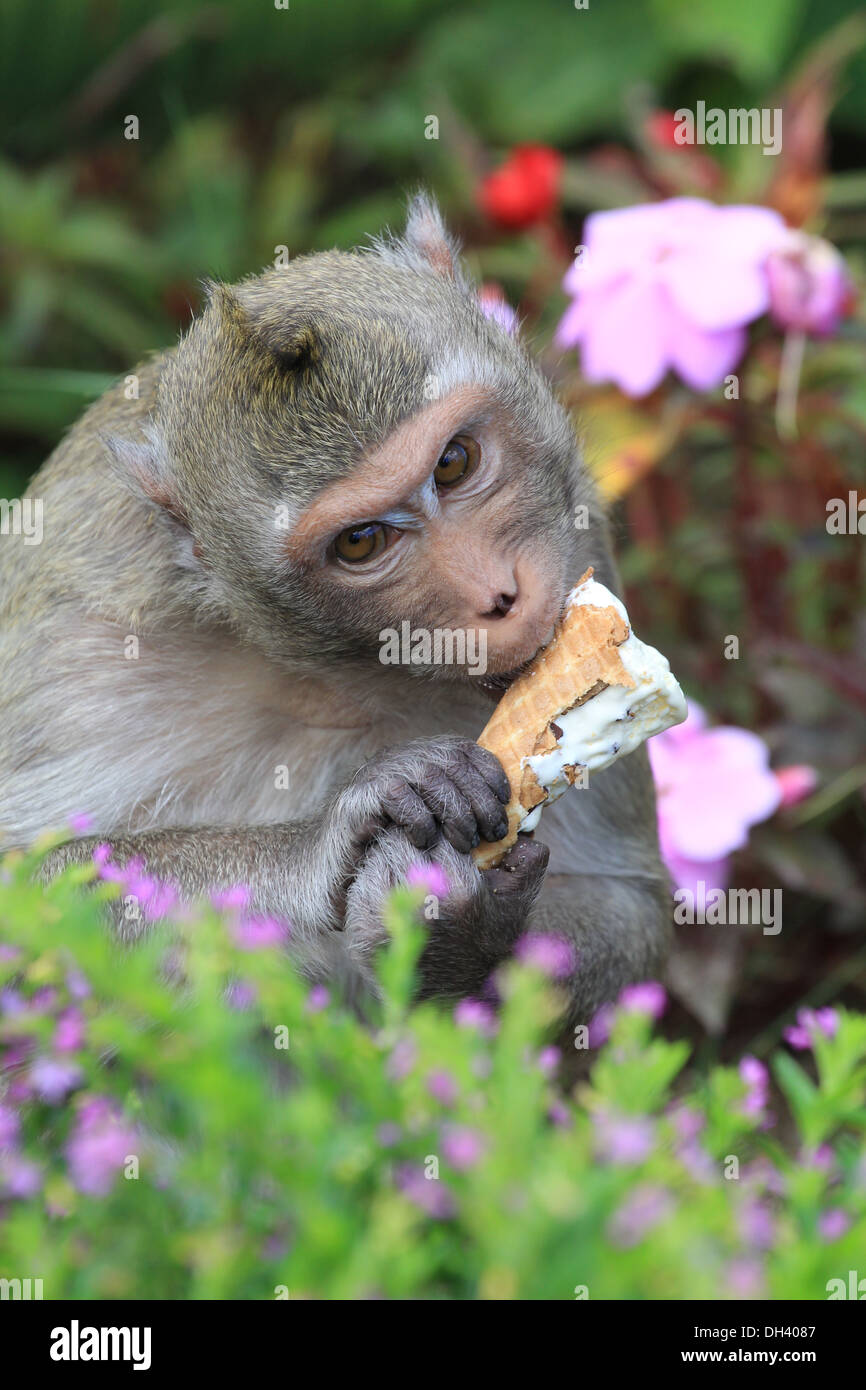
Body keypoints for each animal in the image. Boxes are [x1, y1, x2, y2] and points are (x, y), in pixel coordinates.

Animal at [0, 194, 672, 1023]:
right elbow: (26, 887)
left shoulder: (583, 544)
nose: (498, 595)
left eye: (454, 463)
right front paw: (344, 830)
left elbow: (632, 909)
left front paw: (464, 939)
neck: (328, 667)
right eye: (360, 541)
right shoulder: (81, 647)